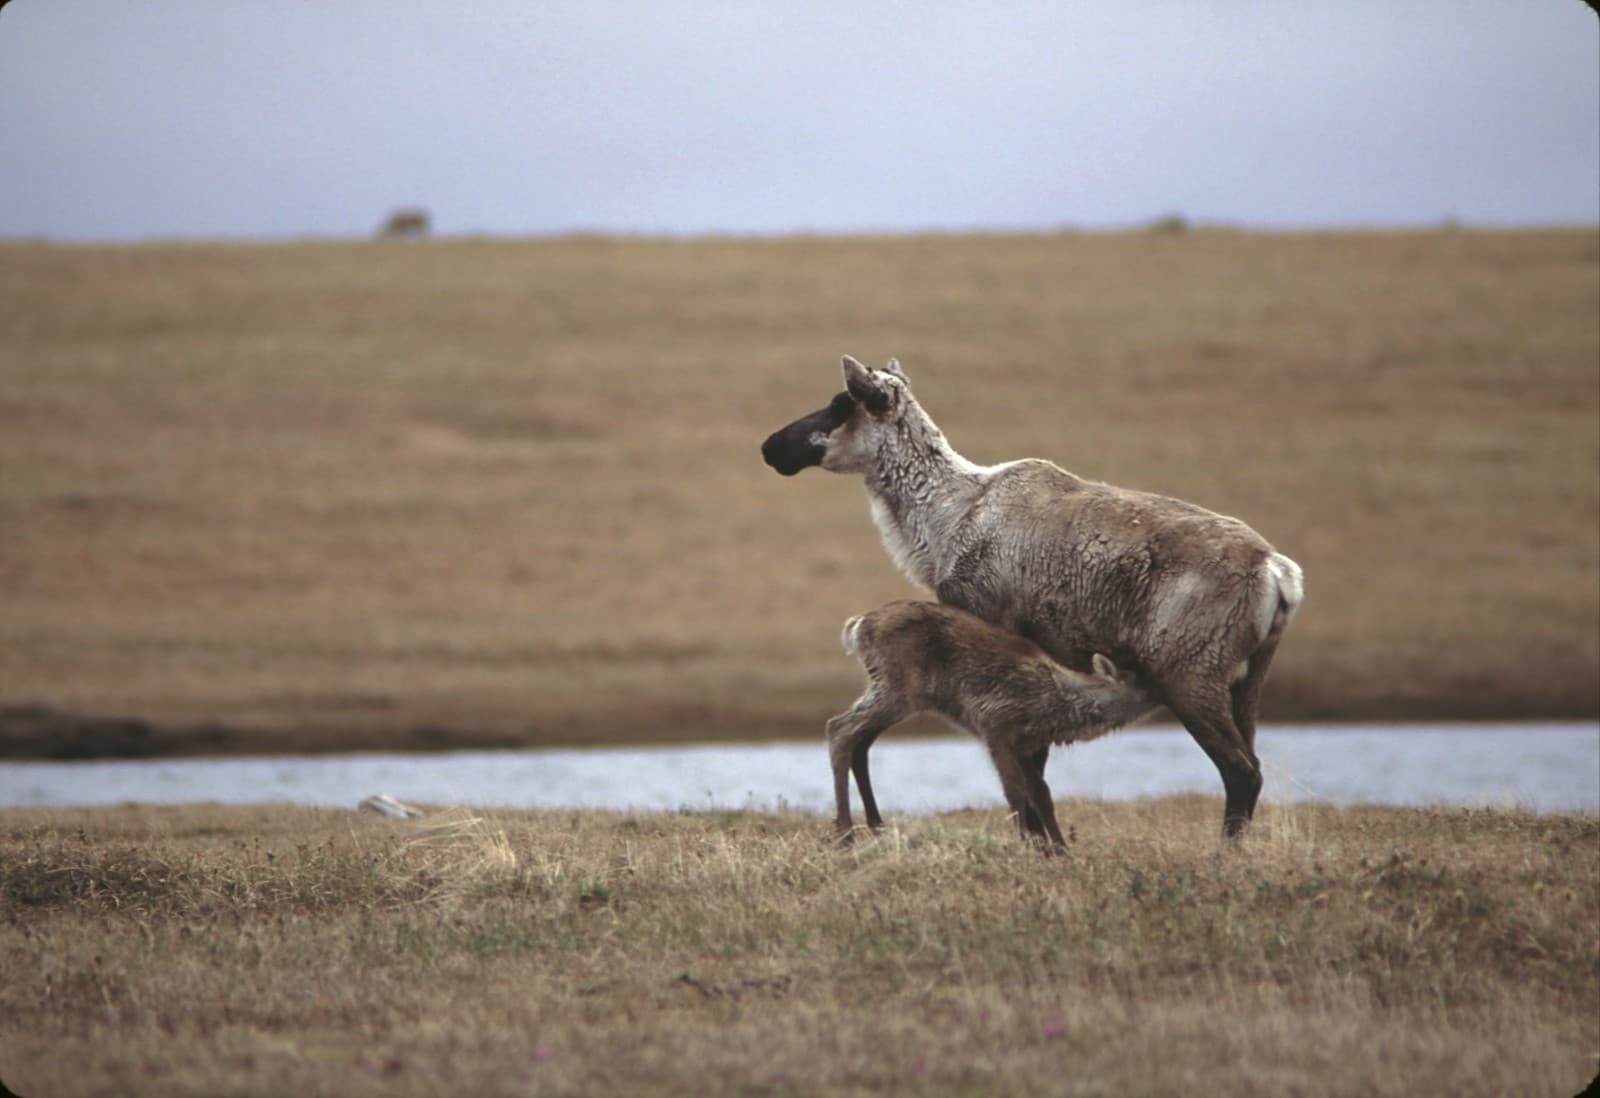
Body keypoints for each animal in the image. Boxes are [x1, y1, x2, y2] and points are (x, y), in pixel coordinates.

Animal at [829, 599, 1157, 849]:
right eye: (1141, 681)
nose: (1163, 692)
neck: (1058, 707)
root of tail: (856, 626)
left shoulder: (1026, 743)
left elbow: (1042, 794)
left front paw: (1060, 849)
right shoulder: (995, 725)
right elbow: (1013, 790)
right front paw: (1027, 845)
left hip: (891, 692)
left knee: (860, 742)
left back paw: (875, 826)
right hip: (897, 689)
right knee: (839, 728)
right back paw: (845, 834)